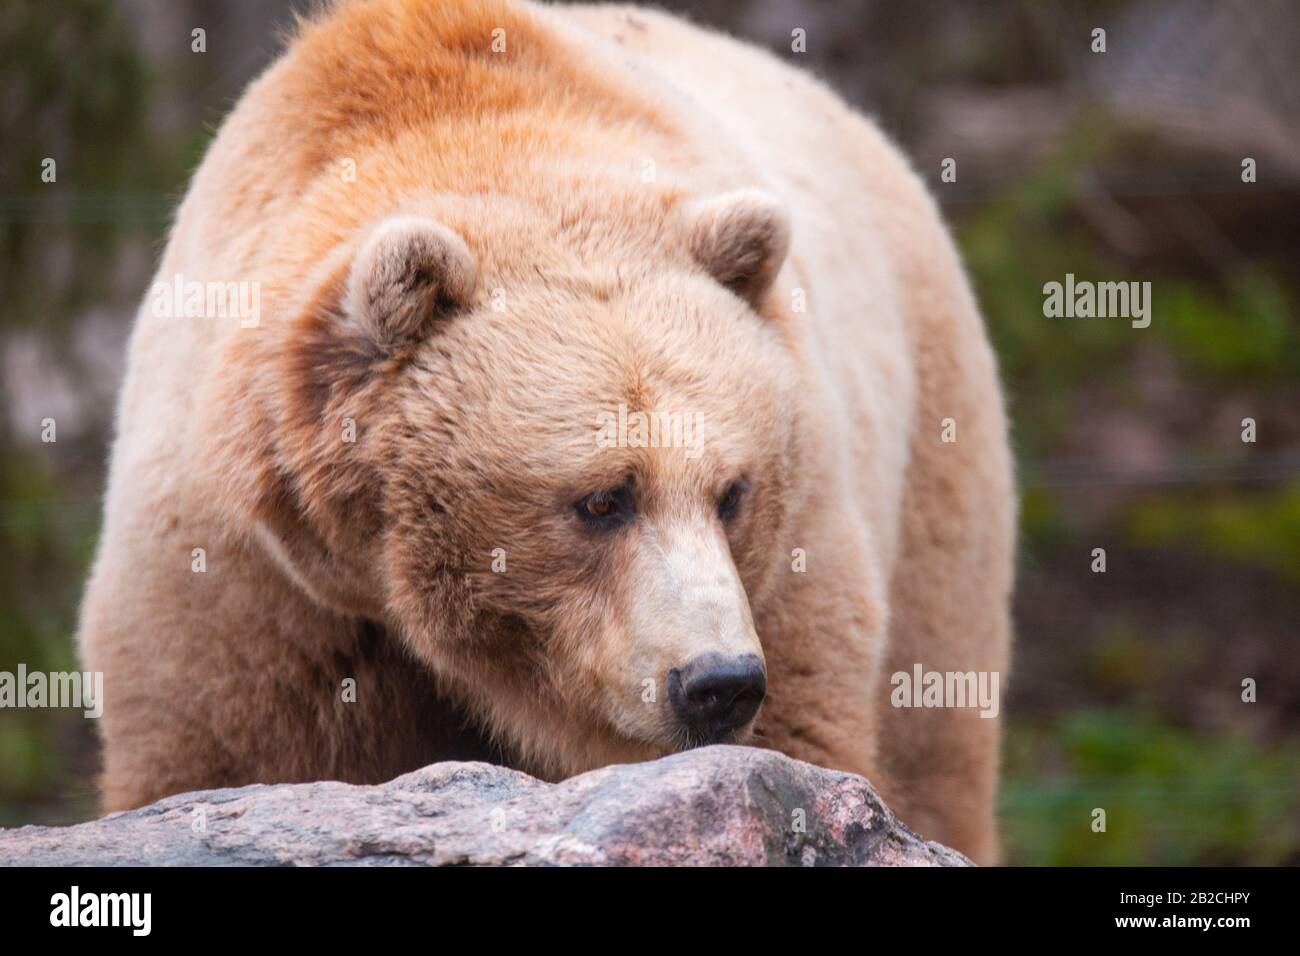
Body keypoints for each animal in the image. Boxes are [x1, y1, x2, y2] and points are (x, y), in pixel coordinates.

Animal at [78, 0, 1015, 864]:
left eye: (732, 493)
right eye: (602, 498)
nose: (717, 683)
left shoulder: (792, 562)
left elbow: (804, 739)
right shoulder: (249, 574)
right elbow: (217, 750)